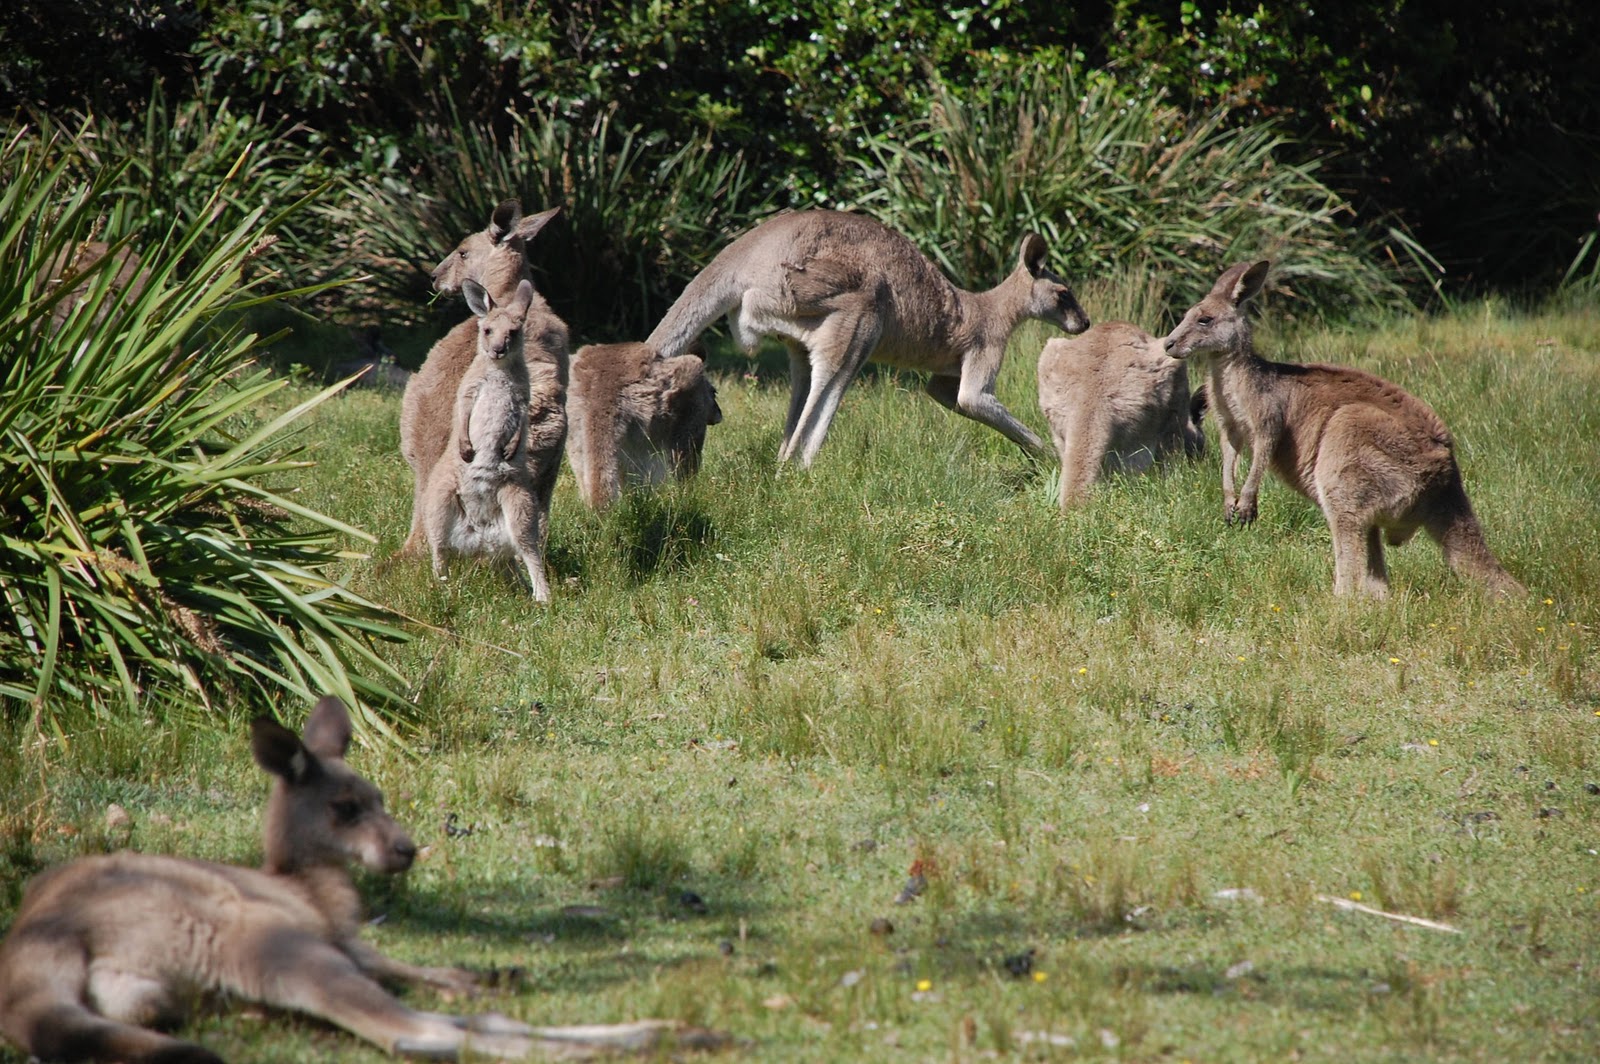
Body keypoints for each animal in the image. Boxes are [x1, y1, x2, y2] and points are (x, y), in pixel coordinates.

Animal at [0, 696, 725, 1061]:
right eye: (347, 809)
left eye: (381, 798)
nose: (406, 851)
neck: (307, 882)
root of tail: (42, 937)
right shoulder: (335, 938)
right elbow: (402, 967)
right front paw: (483, 975)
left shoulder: (345, 940)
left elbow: (421, 970)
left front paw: (485, 974)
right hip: (267, 944)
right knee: (419, 1036)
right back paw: (672, 1035)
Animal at [420, 277, 566, 600]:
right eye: (487, 331)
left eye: (513, 332)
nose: (498, 349)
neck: (500, 370)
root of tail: (481, 535)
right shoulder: (470, 389)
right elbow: (462, 412)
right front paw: (467, 450)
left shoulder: (523, 397)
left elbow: (522, 422)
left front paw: (509, 449)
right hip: (440, 502)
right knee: (439, 552)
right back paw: (443, 591)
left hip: (518, 503)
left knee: (527, 554)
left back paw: (541, 598)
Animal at [644, 210, 1090, 467]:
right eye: (1064, 294)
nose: (1085, 324)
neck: (992, 309)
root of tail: (749, 250)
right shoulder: (986, 345)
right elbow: (973, 399)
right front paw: (1054, 456)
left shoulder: (947, 374)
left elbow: (947, 395)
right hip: (846, 304)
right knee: (830, 373)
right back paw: (799, 471)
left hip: (798, 332)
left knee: (804, 378)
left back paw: (783, 464)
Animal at [1163, 260, 1524, 597]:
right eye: (1187, 316)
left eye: (1204, 320)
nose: (1168, 344)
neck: (1228, 374)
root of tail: (1447, 478)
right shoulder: (1230, 425)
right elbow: (1229, 456)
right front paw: (1229, 503)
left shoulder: (1267, 412)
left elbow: (1264, 447)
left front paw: (1247, 505)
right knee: (1376, 574)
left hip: (1348, 442)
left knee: (1350, 553)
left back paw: (1336, 605)